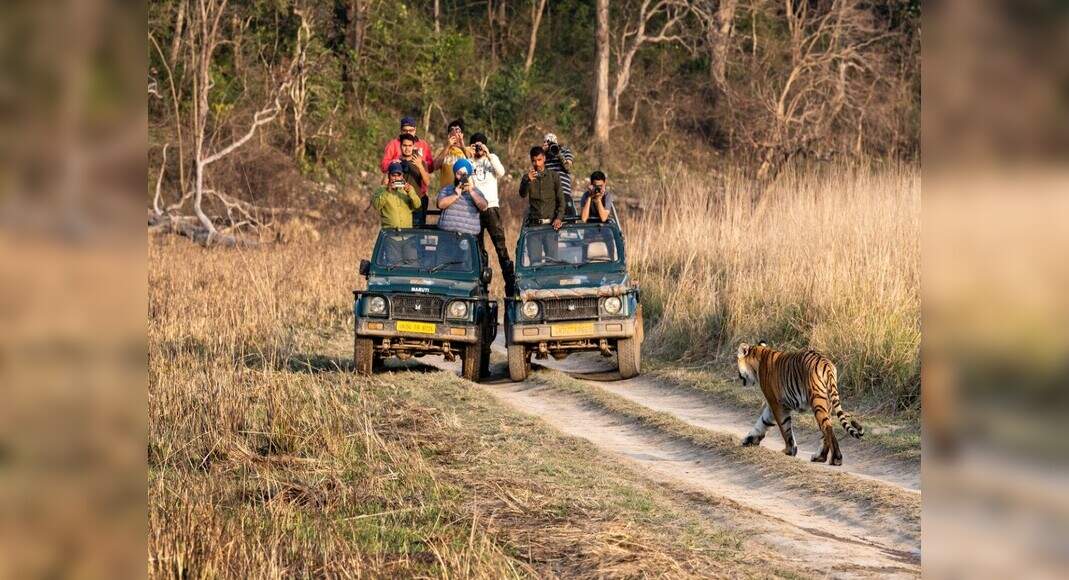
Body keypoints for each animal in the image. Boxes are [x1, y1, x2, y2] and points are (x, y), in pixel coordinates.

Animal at [736, 341, 864, 466]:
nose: (738, 376)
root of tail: (826, 363)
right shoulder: (773, 405)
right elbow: (763, 421)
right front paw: (749, 439)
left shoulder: (776, 403)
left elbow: (784, 428)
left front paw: (789, 450)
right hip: (827, 403)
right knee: (827, 429)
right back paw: (820, 457)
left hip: (817, 401)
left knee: (827, 427)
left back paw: (835, 459)